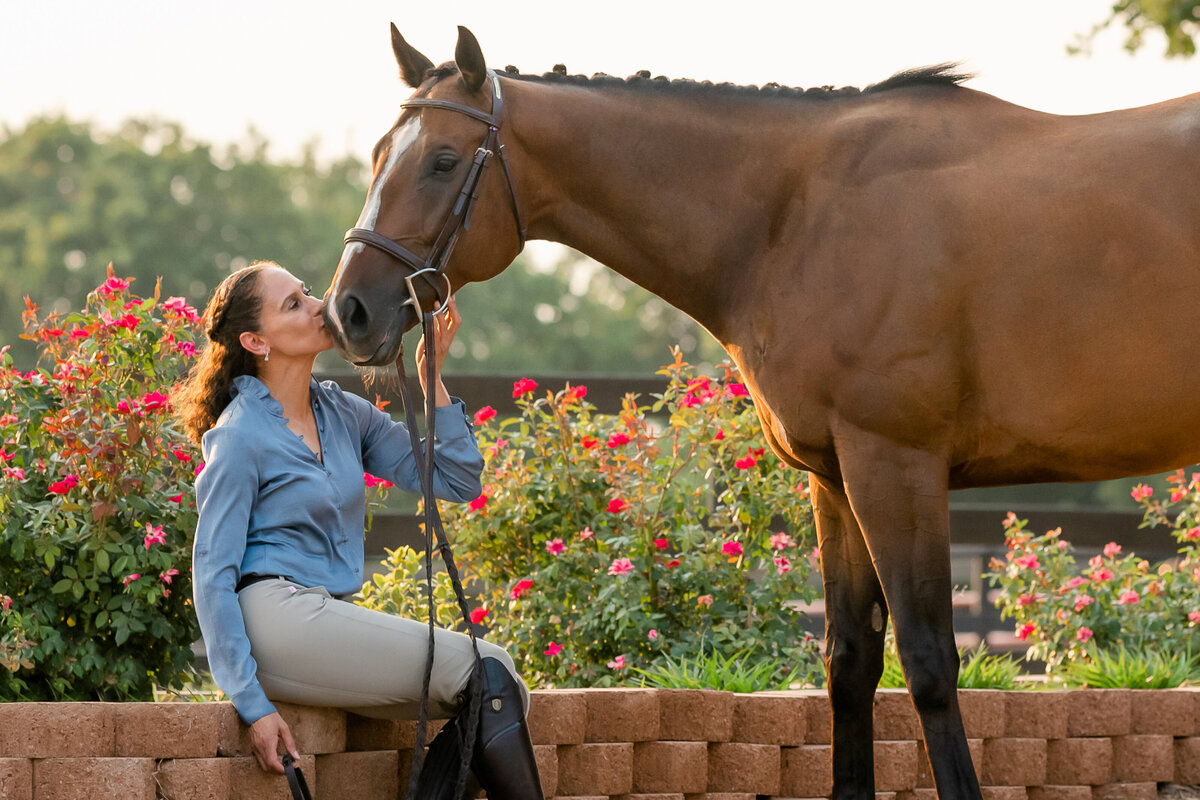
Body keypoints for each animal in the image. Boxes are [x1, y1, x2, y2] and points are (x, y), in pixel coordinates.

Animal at [322, 25, 1200, 799]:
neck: (795, 217)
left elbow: (927, 663)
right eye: (376, 157)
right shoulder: (837, 477)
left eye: (442, 161)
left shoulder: (896, 464)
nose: (349, 312)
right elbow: (850, 663)